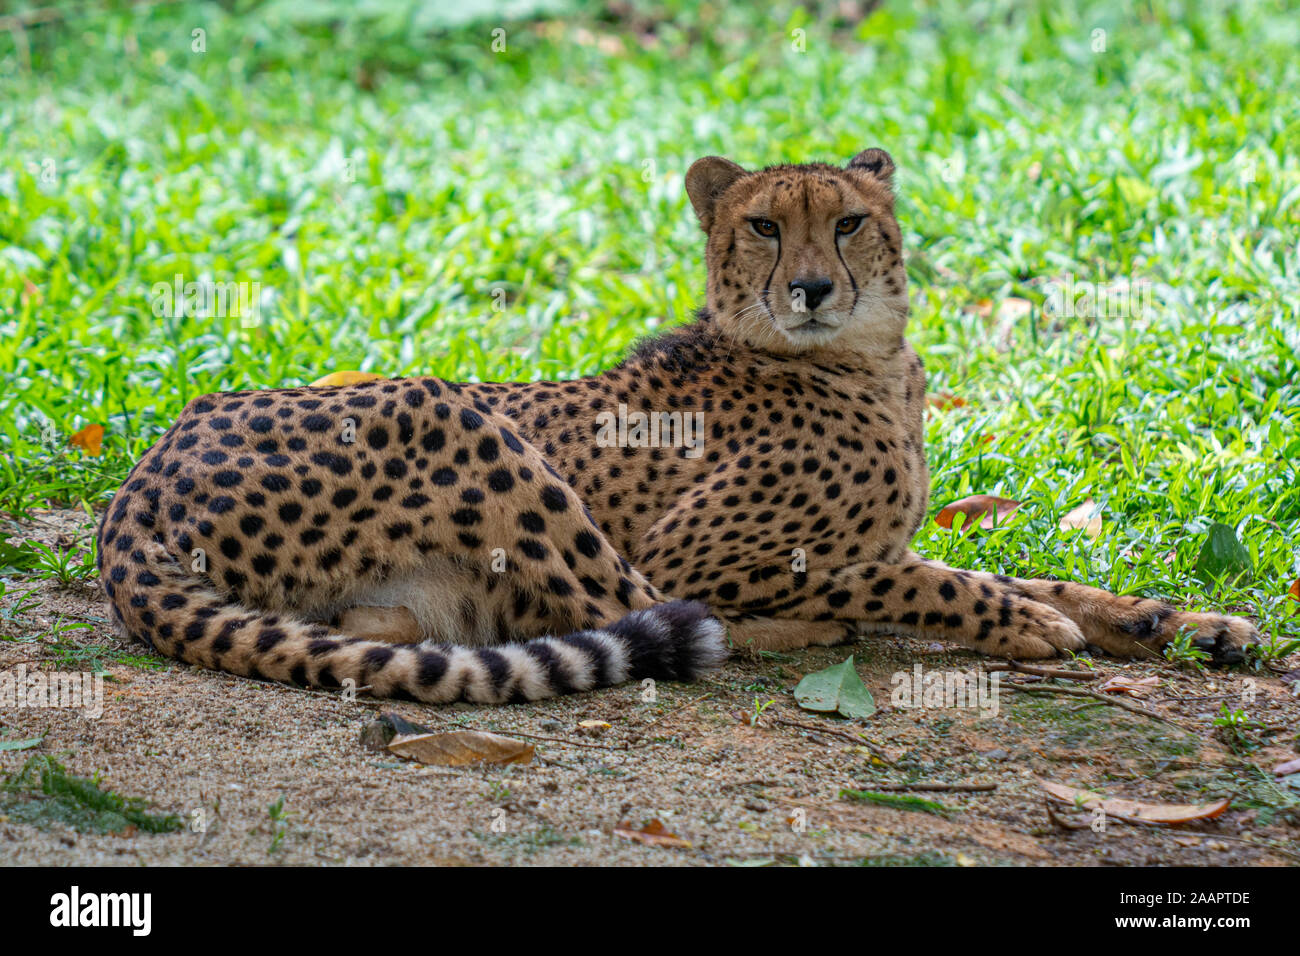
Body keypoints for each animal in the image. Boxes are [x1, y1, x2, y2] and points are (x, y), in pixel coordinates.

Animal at [96, 147, 1259, 705]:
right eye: (764, 225)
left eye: (848, 221)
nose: (809, 287)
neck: (866, 362)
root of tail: (139, 487)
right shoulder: (706, 545)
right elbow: (909, 577)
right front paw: (1018, 622)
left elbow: (1021, 570)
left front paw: (1173, 621)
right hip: (448, 408)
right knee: (645, 610)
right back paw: (797, 632)